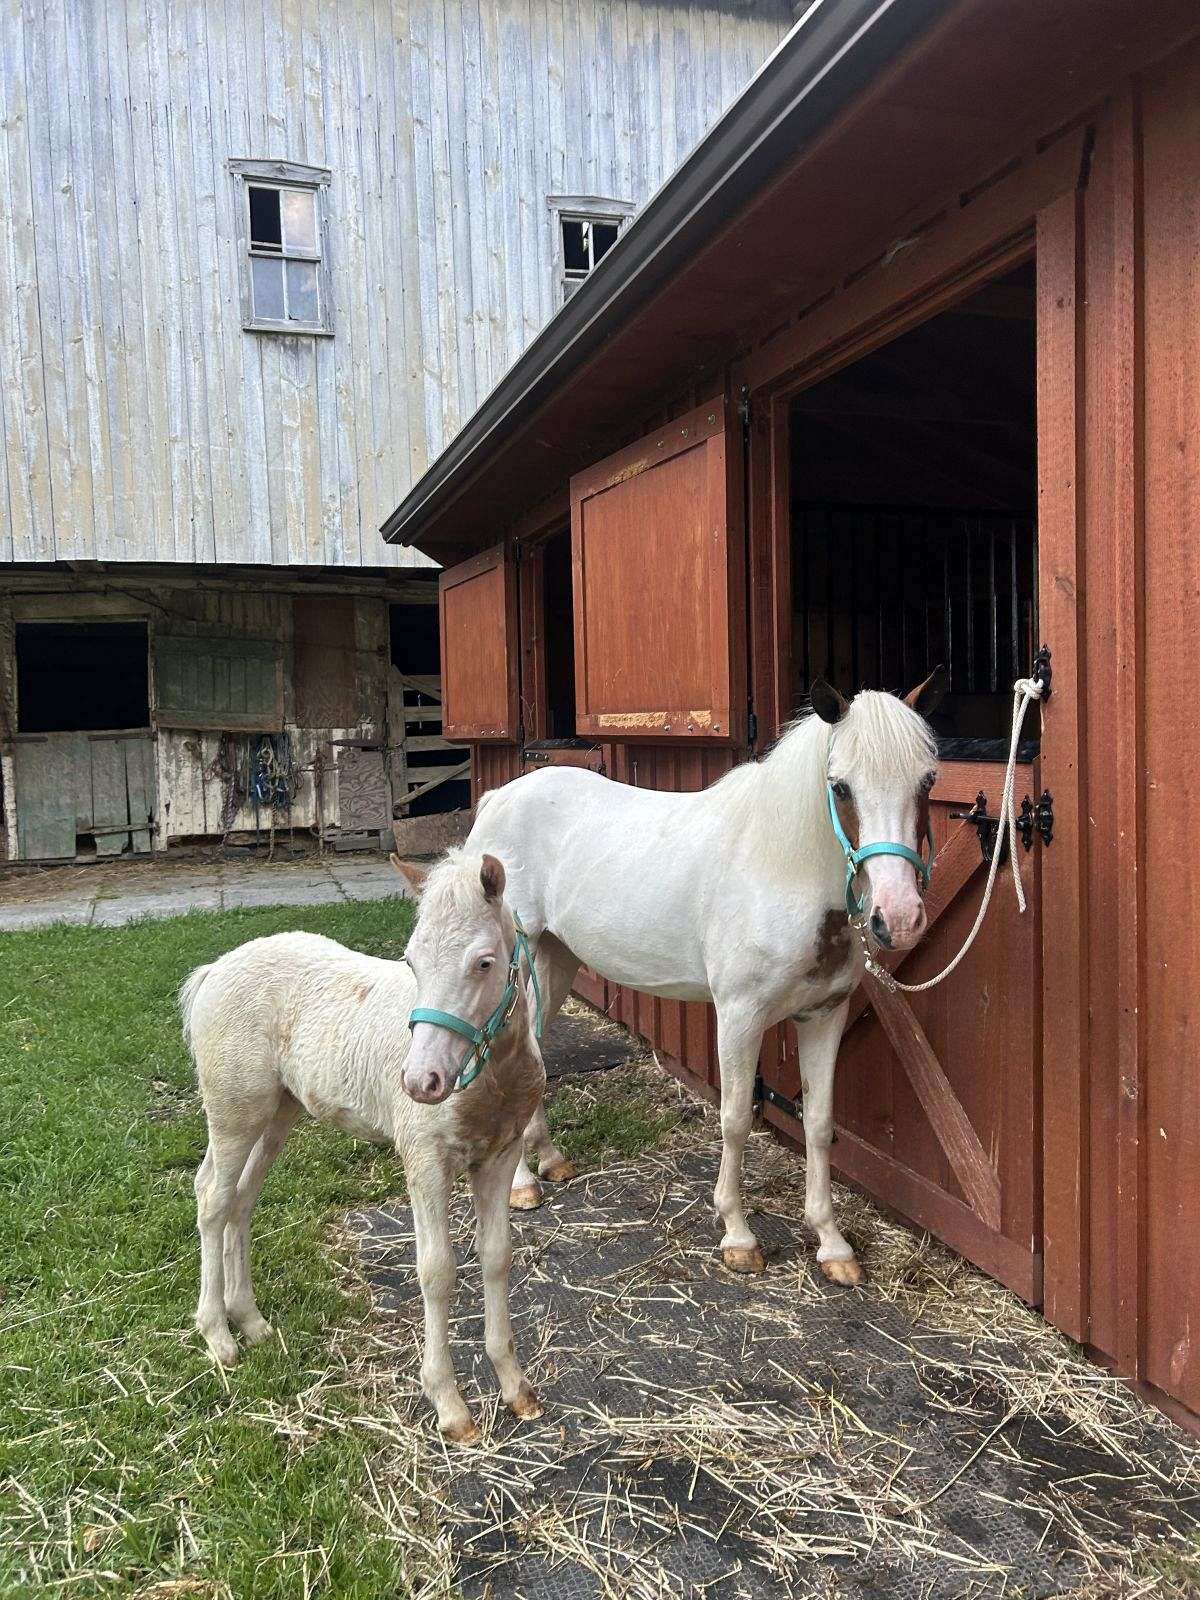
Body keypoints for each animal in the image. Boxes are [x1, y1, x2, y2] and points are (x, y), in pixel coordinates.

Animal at [181, 849, 544, 1443]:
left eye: (484, 963)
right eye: (412, 961)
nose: (421, 1082)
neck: (488, 1079)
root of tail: (214, 969)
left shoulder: (499, 1157)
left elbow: (496, 1256)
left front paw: (515, 1387)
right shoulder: (425, 1162)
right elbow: (437, 1271)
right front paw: (449, 1406)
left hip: (277, 1114)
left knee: (241, 1198)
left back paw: (251, 1321)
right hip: (235, 1110)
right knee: (213, 1196)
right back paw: (218, 1335)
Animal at [463, 670, 946, 1285]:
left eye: (927, 779)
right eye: (840, 787)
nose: (899, 918)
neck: (778, 867)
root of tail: (499, 797)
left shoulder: (824, 1015)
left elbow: (819, 1123)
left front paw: (832, 1244)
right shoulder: (740, 1016)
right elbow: (736, 1119)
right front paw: (738, 1237)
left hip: (555, 958)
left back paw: (549, 1163)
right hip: (516, 966)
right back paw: (522, 1184)